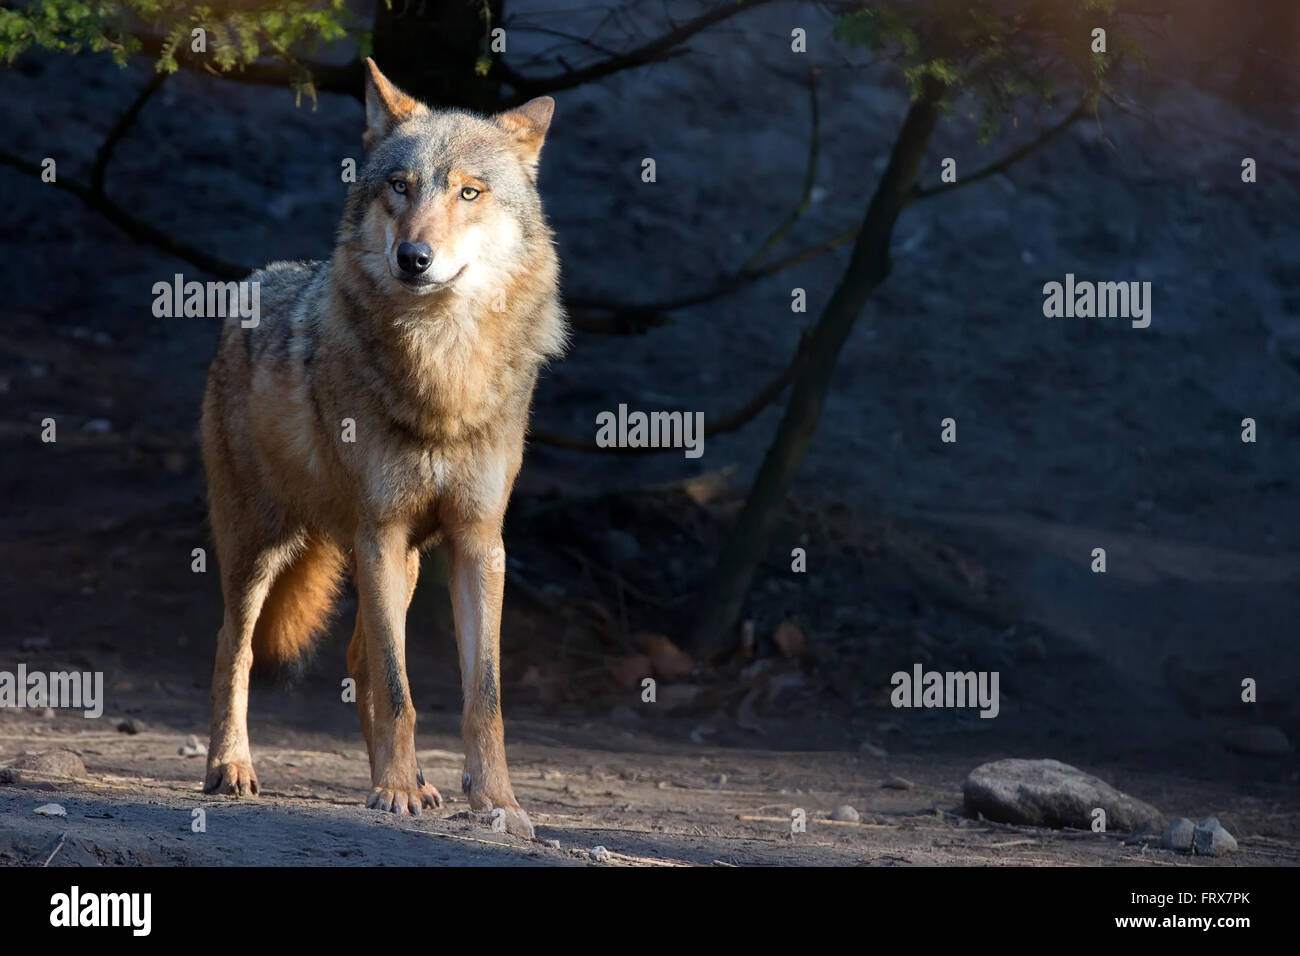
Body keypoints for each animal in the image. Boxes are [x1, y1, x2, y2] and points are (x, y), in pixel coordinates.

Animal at [198, 59, 565, 838]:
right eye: (400, 186)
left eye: (468, 192)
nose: (414, 257)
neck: (442, 367)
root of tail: (261, 278)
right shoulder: (382, 529)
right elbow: (402, 691)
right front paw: (395, 792)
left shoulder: (477, 540)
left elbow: (482, 699)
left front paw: (496, 803)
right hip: (263, 550)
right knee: (232, 649)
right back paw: (232, 768)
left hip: (403, 560)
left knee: (361, 659)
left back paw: (409, 785)